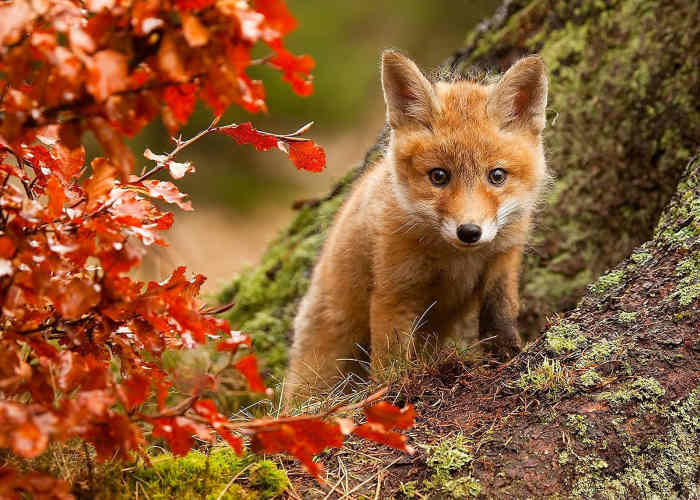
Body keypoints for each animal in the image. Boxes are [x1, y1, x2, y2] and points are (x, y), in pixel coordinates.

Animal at [285, 50, 549, 405]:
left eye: (497, 176)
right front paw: (391, 394)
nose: (469, 231)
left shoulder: (503, 260)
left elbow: (501, 314)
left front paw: (507, 355)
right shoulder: (394, 290)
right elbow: (390, 360)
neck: (456, 260)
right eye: (439, 176)